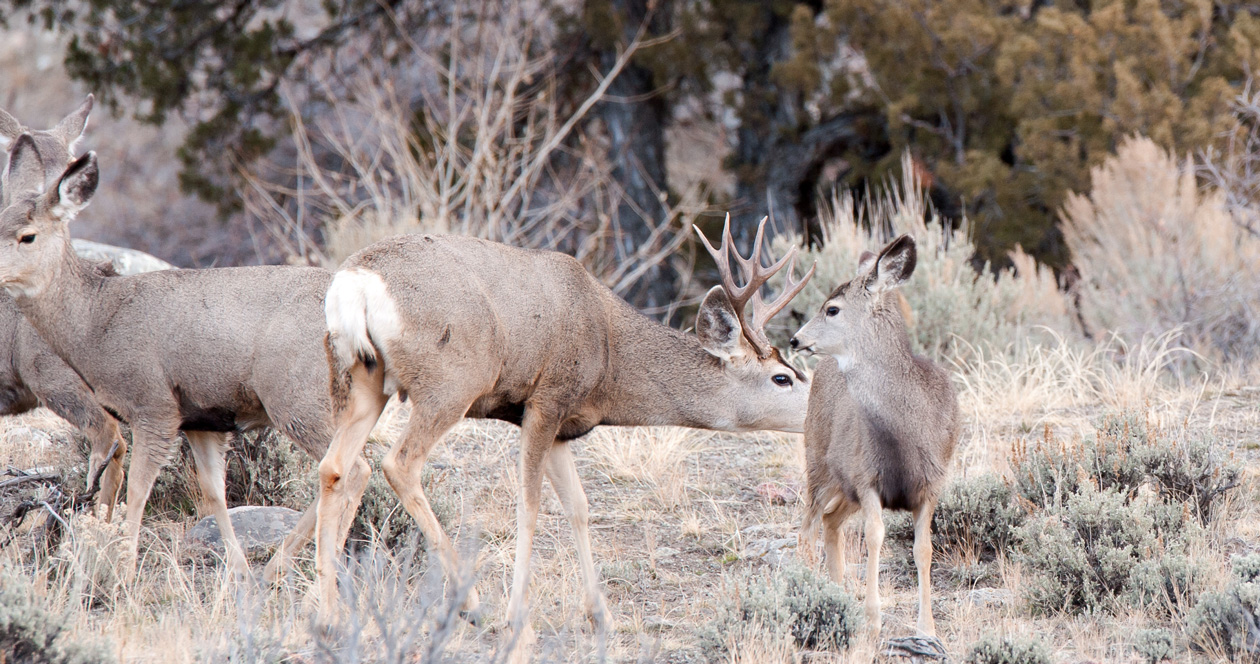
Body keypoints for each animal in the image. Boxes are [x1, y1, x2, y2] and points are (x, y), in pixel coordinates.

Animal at [0, 108, 347, 582]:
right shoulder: (202, 419)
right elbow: (215, 493)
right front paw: (239, 572)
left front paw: (122, 573)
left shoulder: (154, 406)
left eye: (28, 236)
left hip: (298, 398)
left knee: (352, 469)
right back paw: (281, 567)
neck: (98, 319)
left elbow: (138, 489)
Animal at [315, 217, 814, 652]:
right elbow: (531, 506)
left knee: (335, 466)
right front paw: (519, 621)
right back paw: (471, 604)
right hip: (450, 381)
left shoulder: (560, 428)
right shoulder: (546, 400)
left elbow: (578, 506)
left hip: (360, 377)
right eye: (782, 378)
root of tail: (354, 282)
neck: (610, 357)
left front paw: (602, 616)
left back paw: (328, 616)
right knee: (399, 463)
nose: (819, 408)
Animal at [788, 234, 959, 637]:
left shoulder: (932, 482)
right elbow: (874, 537)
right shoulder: (867, 478)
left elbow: (923, 549)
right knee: (807, 527)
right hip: (818, 462)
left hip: (841, 484)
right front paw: (872, 619)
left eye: (832, 309)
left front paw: (927, 627)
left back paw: (835, 593)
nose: (795, 339)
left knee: (830, 523)